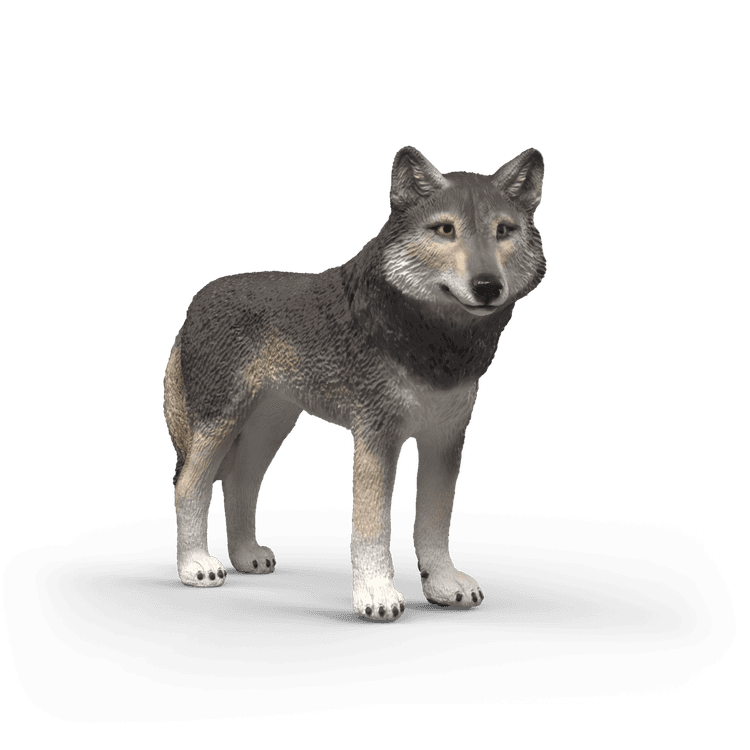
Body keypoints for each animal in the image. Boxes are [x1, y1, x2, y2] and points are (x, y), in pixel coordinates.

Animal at [163, 144, 546, 621]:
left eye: (504, 231)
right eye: (445, 230)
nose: (488, 286)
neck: (437, 342)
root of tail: (196, 301)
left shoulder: (444, 438)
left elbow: (434, 524)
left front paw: (443, 584)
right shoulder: (376, 436)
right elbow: (372, 528)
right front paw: (376, 595)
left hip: (269, 427)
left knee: (239, 483)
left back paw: (247, 556)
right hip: (220, 423)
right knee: (188, 486)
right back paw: (196, 565)